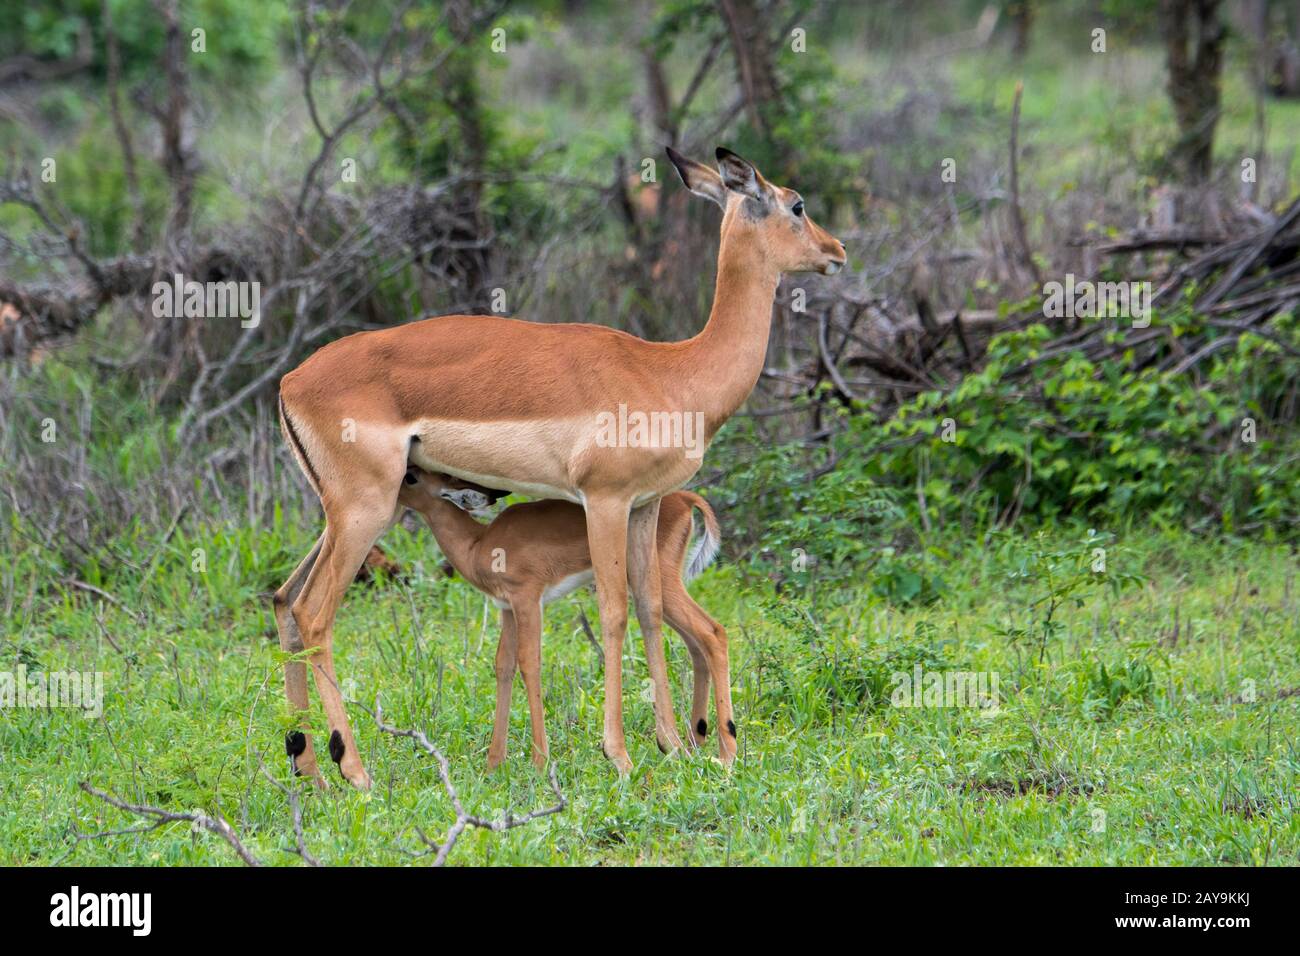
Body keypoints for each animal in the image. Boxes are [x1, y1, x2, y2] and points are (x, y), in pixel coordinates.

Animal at [396, 466, 733, 769]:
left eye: (412, 477)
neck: (479, 543)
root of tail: (686, 498)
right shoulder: (507, 608)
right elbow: (503, 666)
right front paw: (493, 763)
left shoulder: (528, 600)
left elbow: (530, 663)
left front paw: (539, 762)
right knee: (696, 643)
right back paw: (694, 741)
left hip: (660, 583)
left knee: (713, 632)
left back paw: (724, 754)